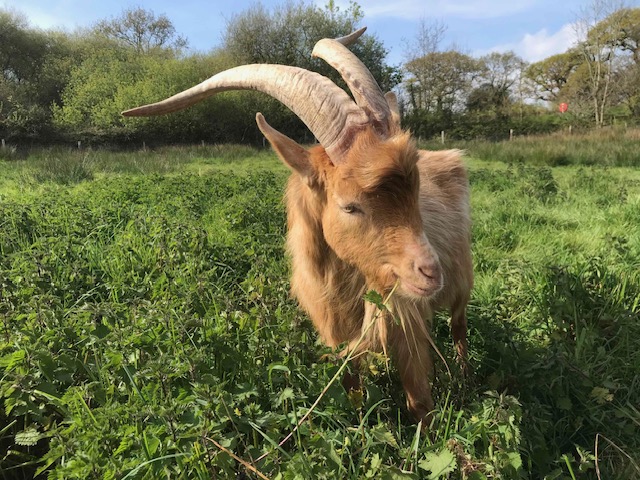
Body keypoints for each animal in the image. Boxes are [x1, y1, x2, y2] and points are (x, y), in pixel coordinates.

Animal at [123, 28, 473, 423]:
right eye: (349, 206)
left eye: (415, 191)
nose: (430, 272)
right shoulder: (337, 337)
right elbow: (353, 391)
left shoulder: (405, 322)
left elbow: (420, 403)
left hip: (463, 279)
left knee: (459, 325)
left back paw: (465, 376)